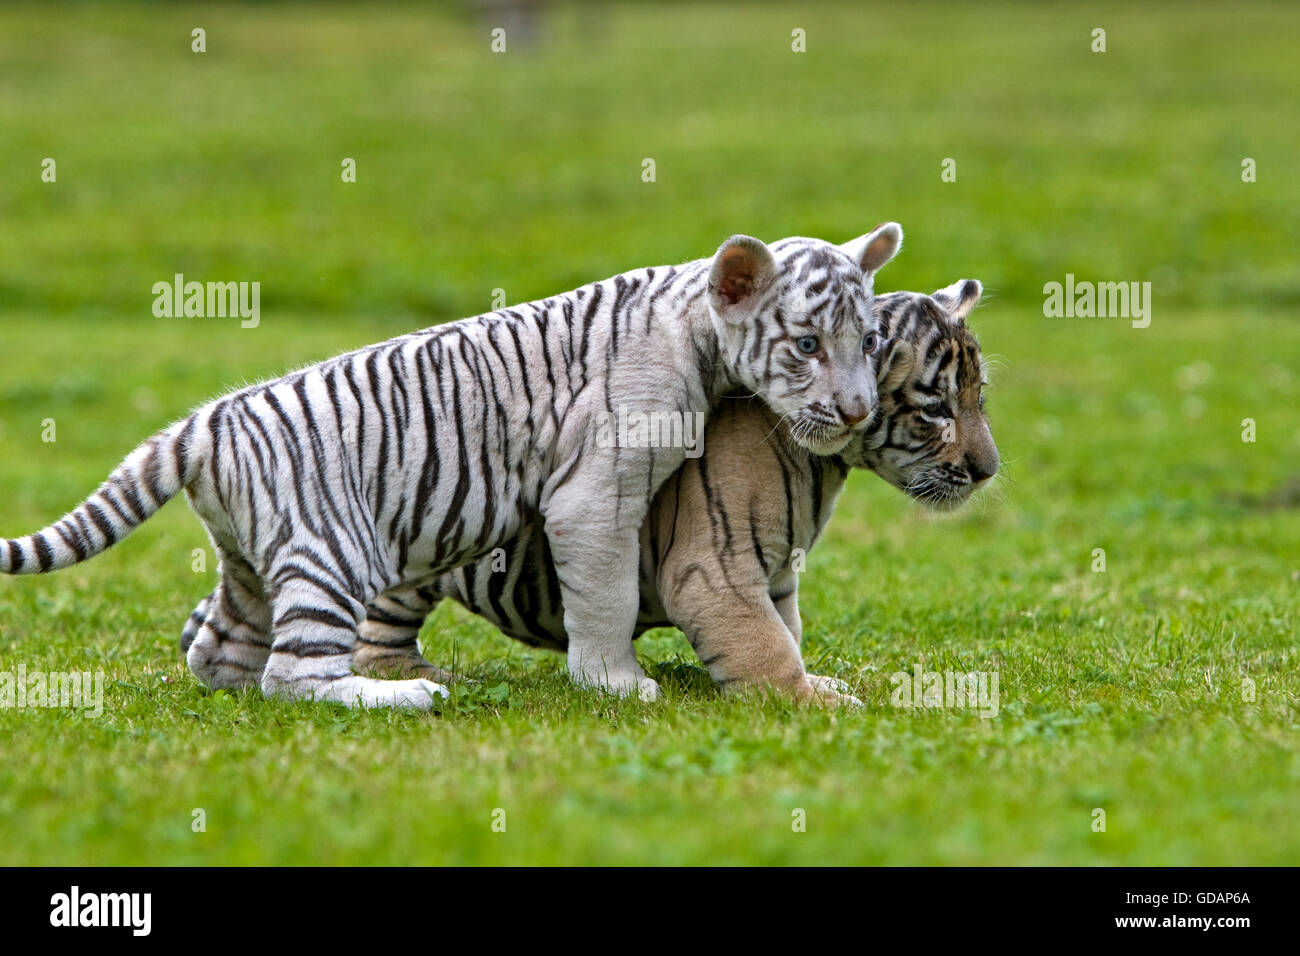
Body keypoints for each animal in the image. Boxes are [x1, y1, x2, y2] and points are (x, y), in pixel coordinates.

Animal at [1, 224, 903, 708]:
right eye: (808, 345)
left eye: (871, 342)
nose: (860, 411)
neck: (699, 333)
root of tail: (205, 421)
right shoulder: (596, 497)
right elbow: (605, 598)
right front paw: (616, 684)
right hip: (336, 551)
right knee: (295, 678)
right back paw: (407, 697)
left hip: (252, 564)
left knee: (223, 654)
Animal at [349, 279, 998, 705]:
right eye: (936, 409)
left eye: (979, 396)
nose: (988, 470)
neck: (827, 461)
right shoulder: (714, 568)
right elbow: (766, 645)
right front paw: (815, 703)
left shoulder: (779, 573)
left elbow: (787, 630)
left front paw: (817, 683)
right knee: (374, 637)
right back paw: (425, 681)